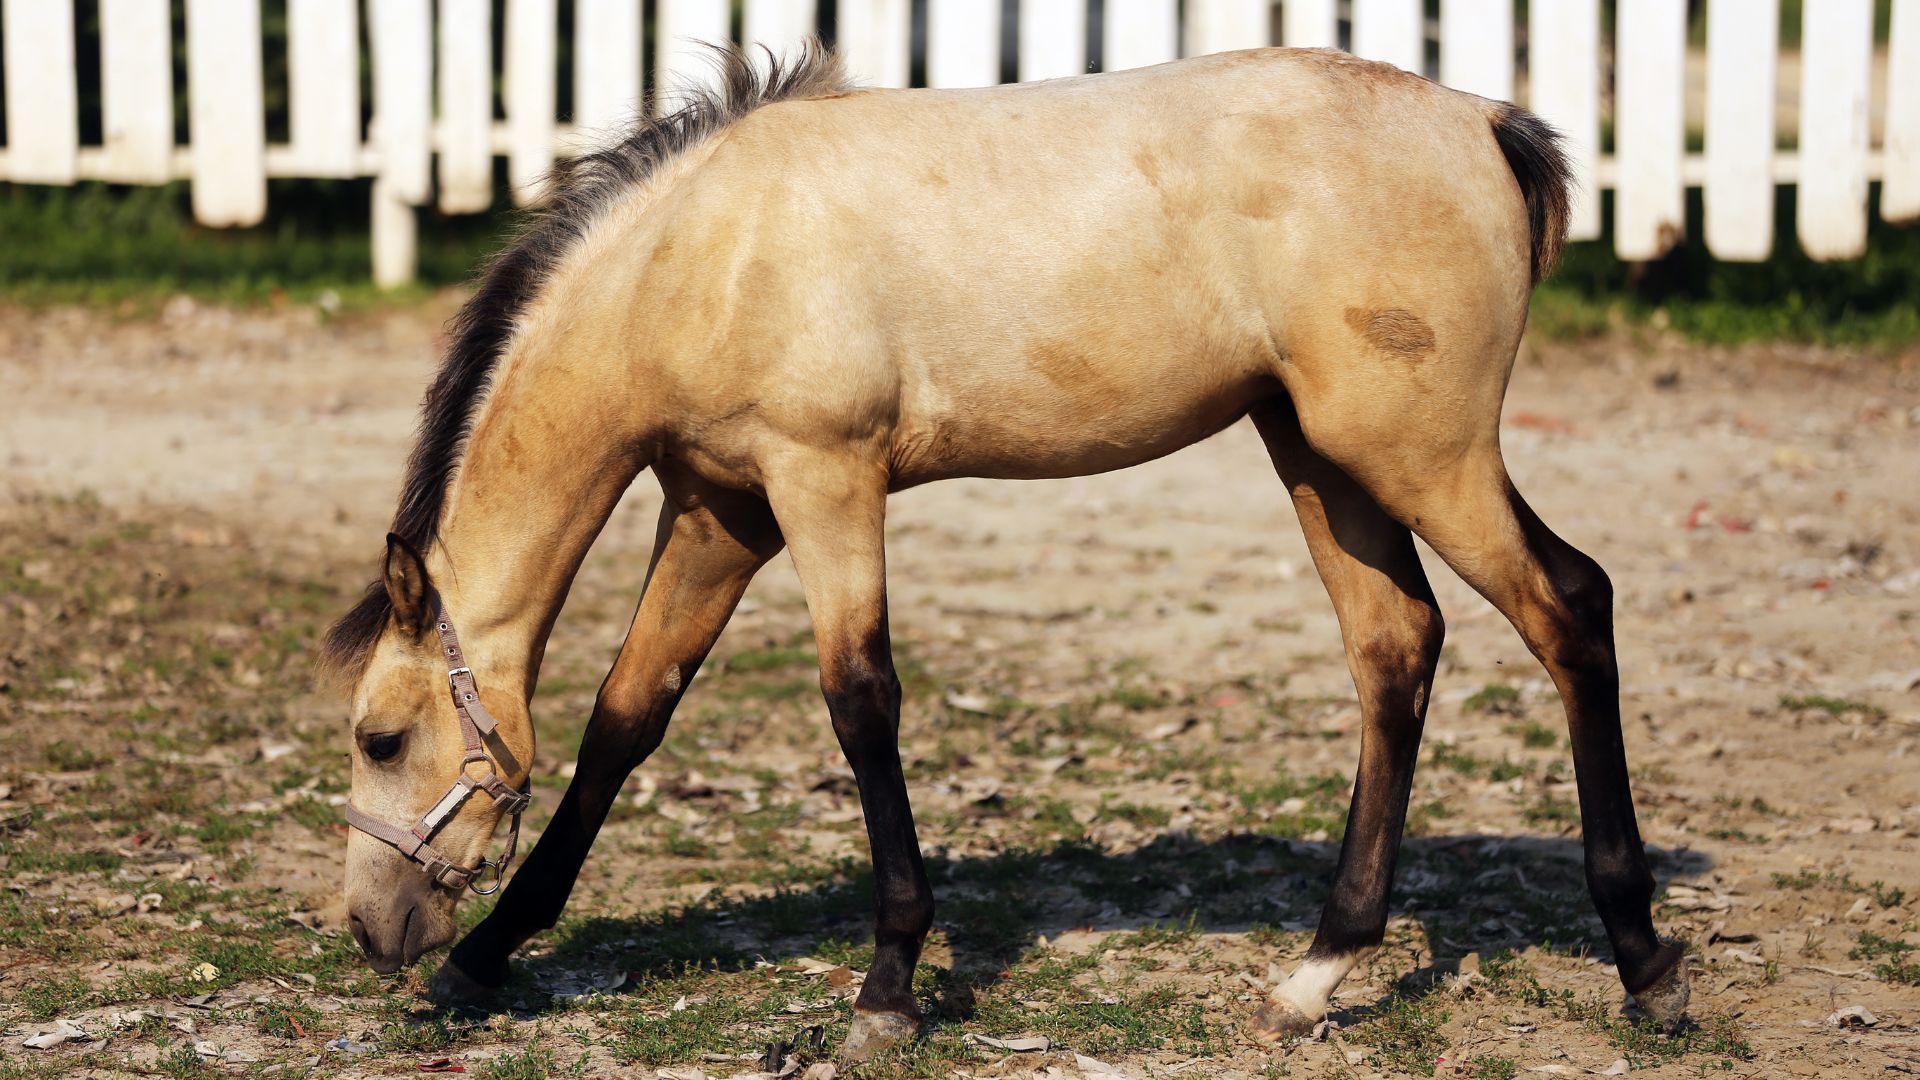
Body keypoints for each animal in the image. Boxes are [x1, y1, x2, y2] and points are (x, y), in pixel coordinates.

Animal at [322, 41, 1689, 1062]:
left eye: (380, 740)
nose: (372, 932)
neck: (700, 259)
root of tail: (1484, 123)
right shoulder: (721, 512)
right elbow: (625, 714)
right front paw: (488, 957)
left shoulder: (826, 484)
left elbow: (860, 703)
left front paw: (886, 992)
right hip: (1321, 453)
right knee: (1395, 648)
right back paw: (1318, 974)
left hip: (1419, 453)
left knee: (1572, 606)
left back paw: (1644, 965)